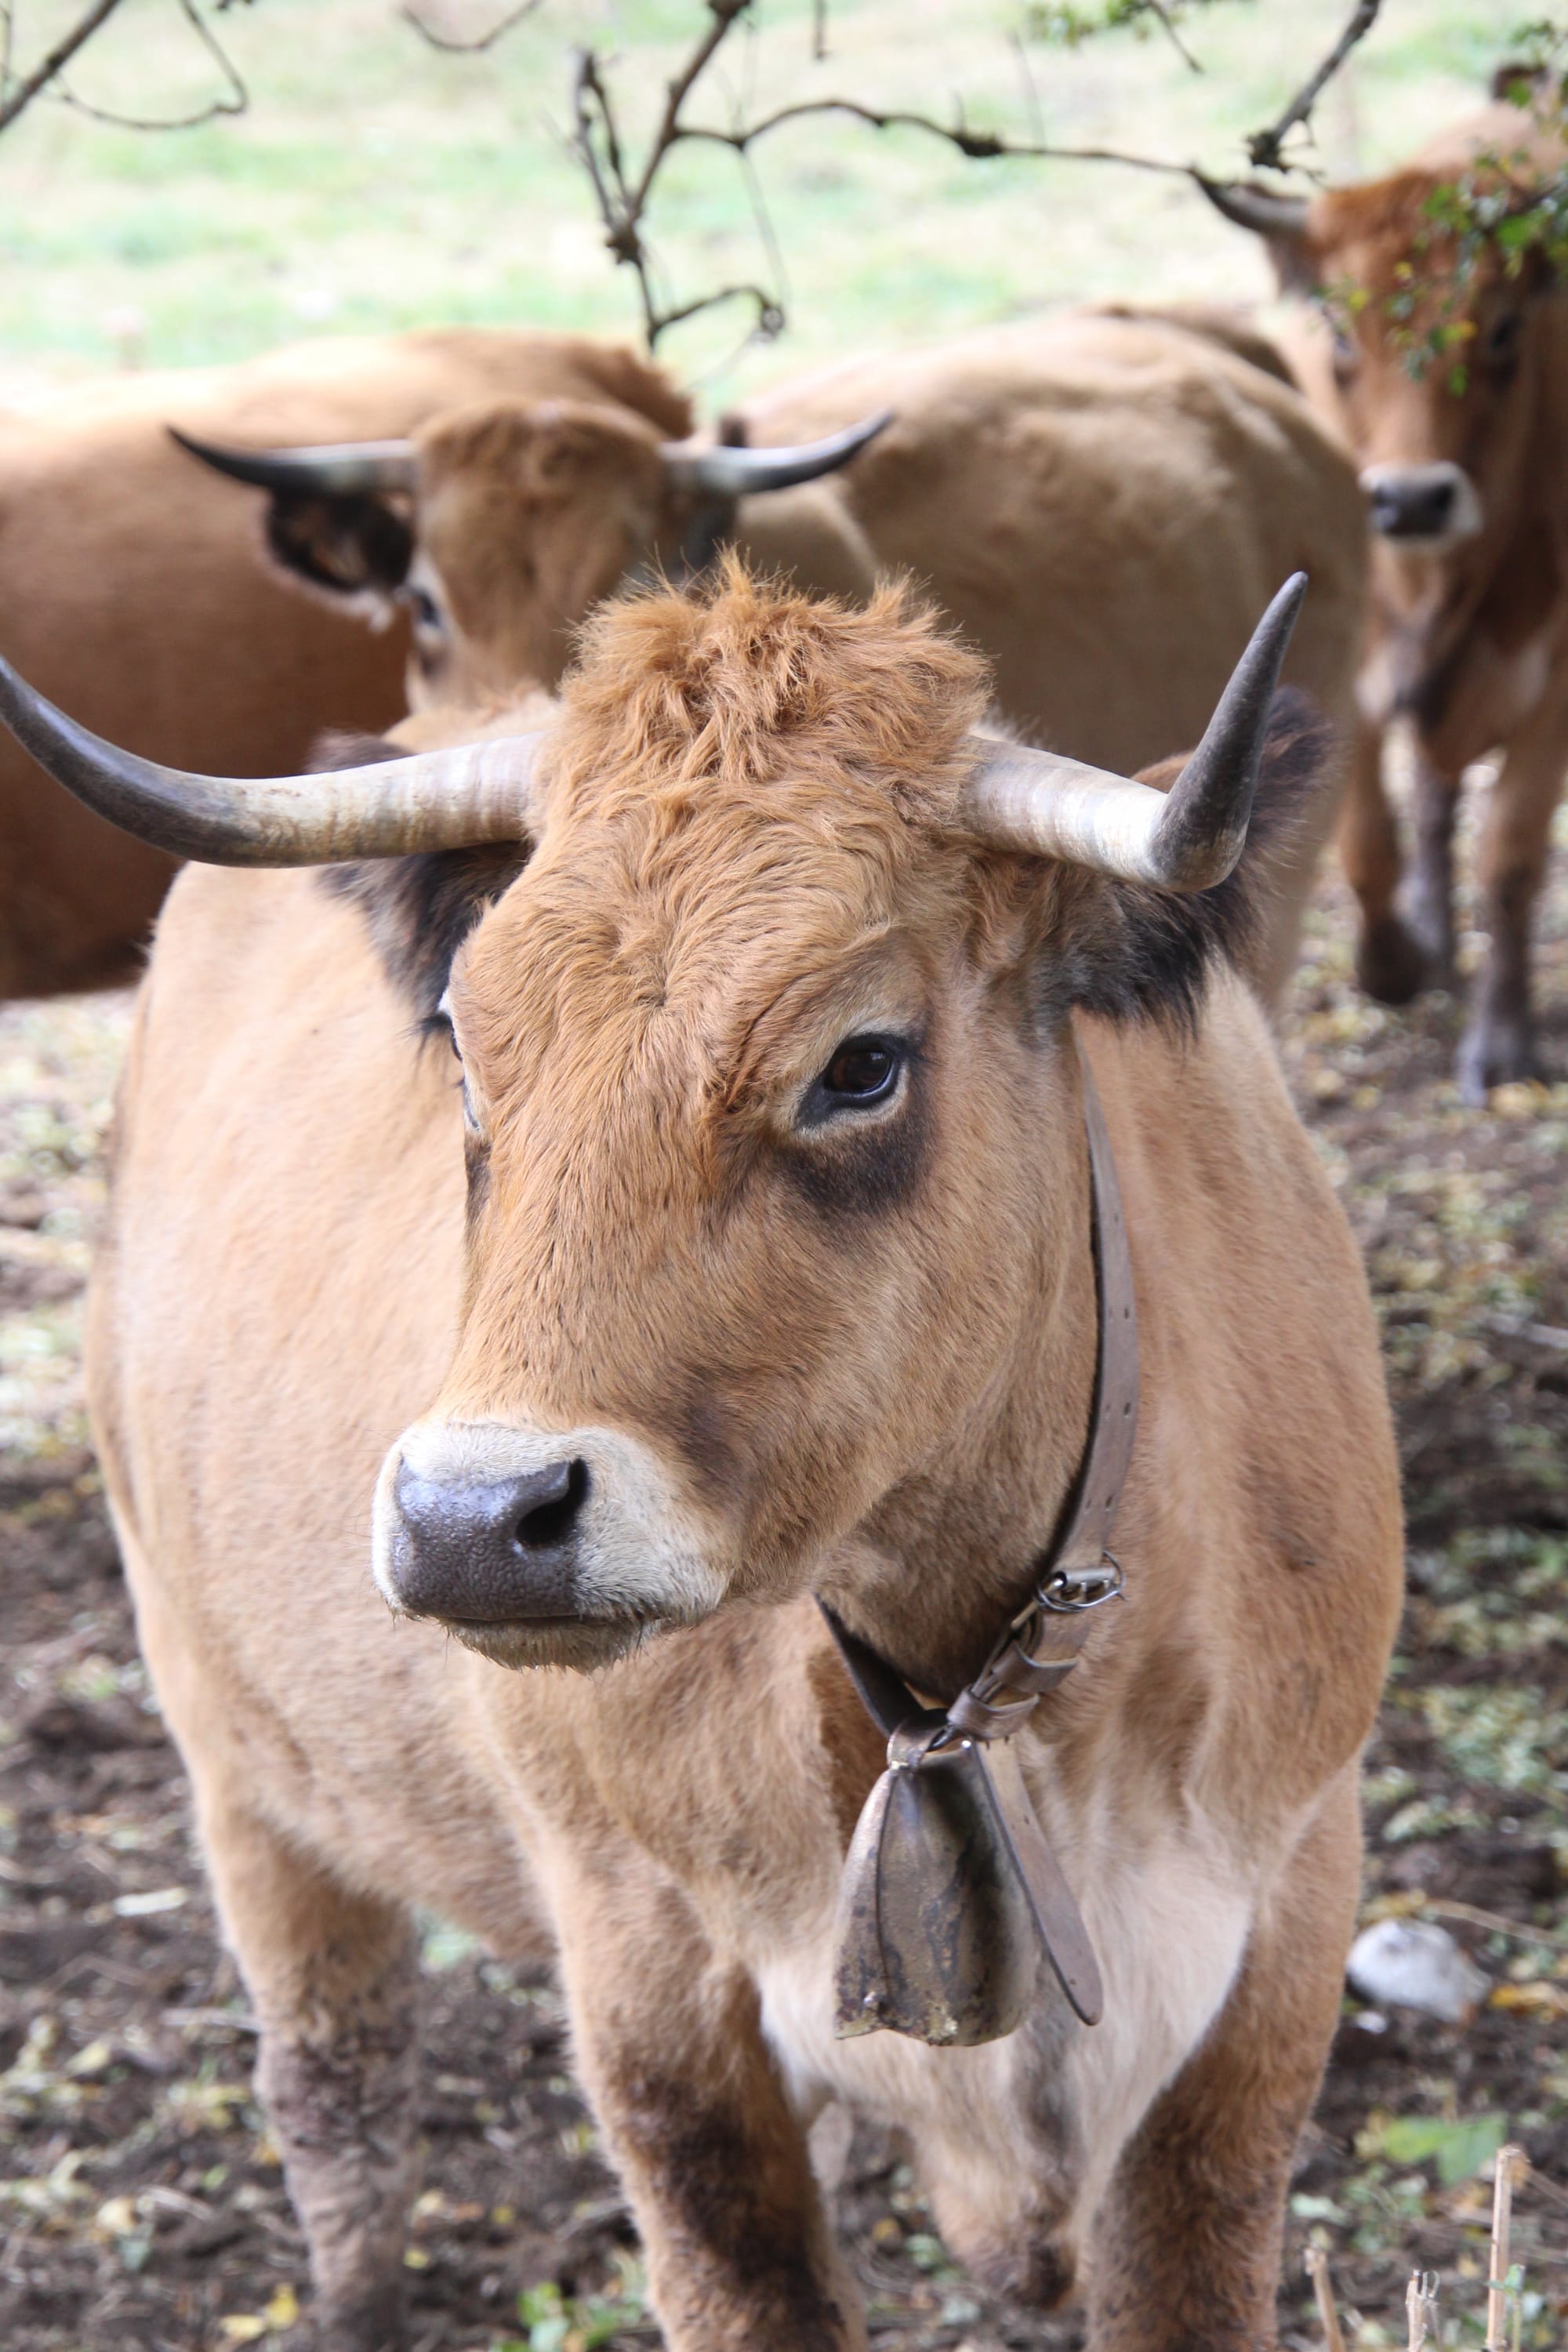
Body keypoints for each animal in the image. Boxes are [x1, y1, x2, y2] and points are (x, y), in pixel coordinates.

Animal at [0, 557, 1403, 2351]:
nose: (475, 1517)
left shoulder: (1271, 1949)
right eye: (467, 1047)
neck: (987, 1699)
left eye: (860, 1061)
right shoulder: (654, 1983)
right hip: (235, 1761)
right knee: (338, 2094)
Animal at [1201, 73, 1568, 1097]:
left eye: (1501, 328)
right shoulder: (1333, 665)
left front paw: (1503, 1038)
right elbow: (1367, 836)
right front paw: (1392, 964)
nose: (1409, 497)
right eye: (1336, 327)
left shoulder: (1551, 685)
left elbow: (1510, 852)